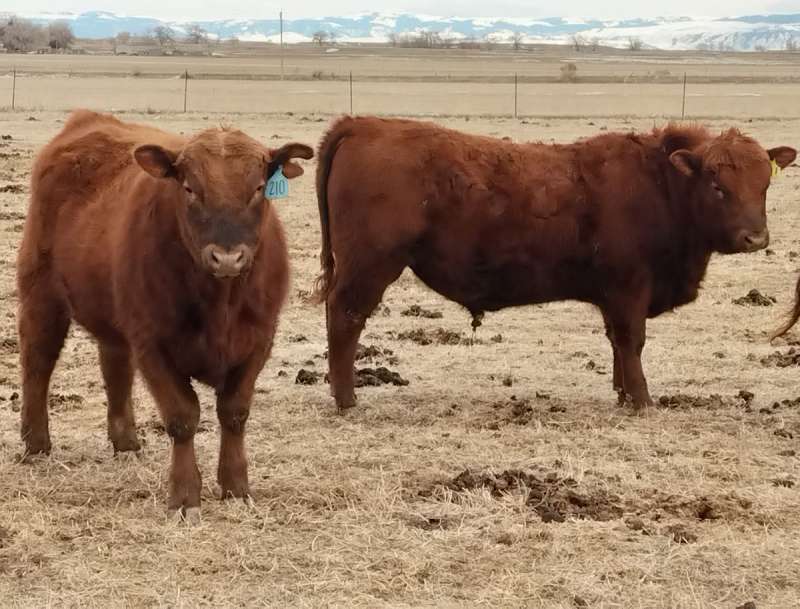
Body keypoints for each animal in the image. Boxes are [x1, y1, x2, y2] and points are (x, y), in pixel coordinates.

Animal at [17, 110, 313, 518]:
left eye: (257, 188)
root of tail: (87, 120)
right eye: (189, 188)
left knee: (115, 370)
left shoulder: (259, 340)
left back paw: (126, 441)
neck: (220, 303)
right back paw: (36, 443)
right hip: (41, 294)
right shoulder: (153, 344)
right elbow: (182, 418)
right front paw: (185, 495)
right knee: (38, 362)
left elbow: (234, 413)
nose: (227, 258)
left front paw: (236, 486)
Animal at [312, 116, 796, 411]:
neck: (659, 185)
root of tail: (361, 124)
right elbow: (632, 341)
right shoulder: (629, 287)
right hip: (369, 266)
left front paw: (622, 393)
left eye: (764, 182)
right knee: (345, 318)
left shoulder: (613, 295)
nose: (756, 238)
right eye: (716, 183)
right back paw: (346, 397)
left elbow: (616, 342)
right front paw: (641, 400)